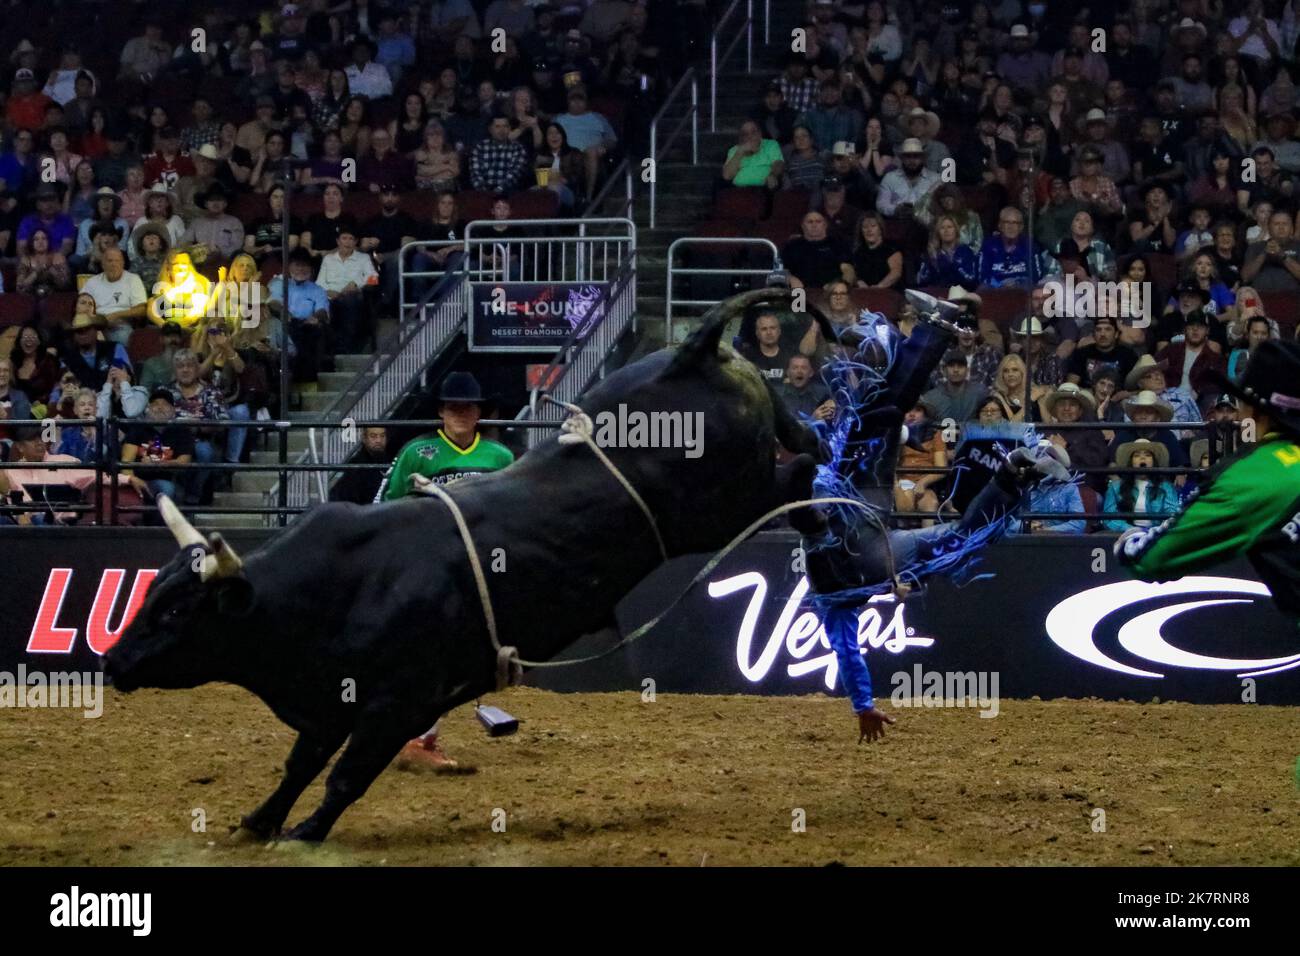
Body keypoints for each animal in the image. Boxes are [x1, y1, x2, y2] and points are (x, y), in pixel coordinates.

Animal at [103, 287, 826, 843]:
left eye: (176, 608)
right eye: (153, 592)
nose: (113, 662)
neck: (336, 588)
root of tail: (687, 349)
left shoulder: (398, 701)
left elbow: (344, 774)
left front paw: (306, 831)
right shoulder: (331, 702)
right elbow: (300, 765)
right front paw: (259, 821)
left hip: (720, 508)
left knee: (798, 474)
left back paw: (823, 530)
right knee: (801, 446)